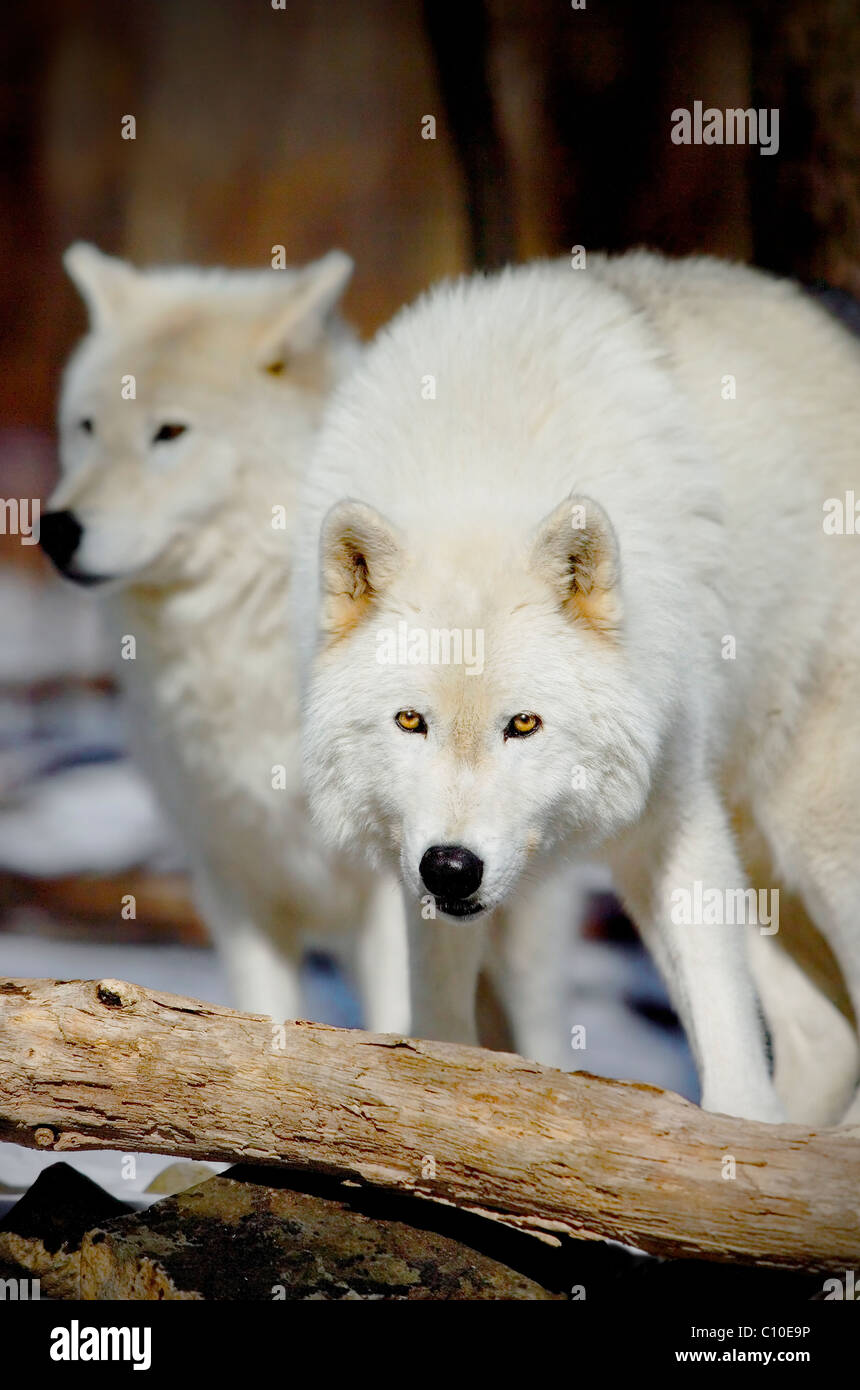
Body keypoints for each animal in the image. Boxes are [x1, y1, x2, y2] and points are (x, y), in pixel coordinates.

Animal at [296, 251, 860, 1122]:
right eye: (410, 722)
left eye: (523, 725)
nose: (452, 867)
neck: (480, 472)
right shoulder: (412, 858)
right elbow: (440, 1027)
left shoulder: (675, 818)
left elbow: (733, 1063)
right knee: (828, 1035)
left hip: (813, 825)